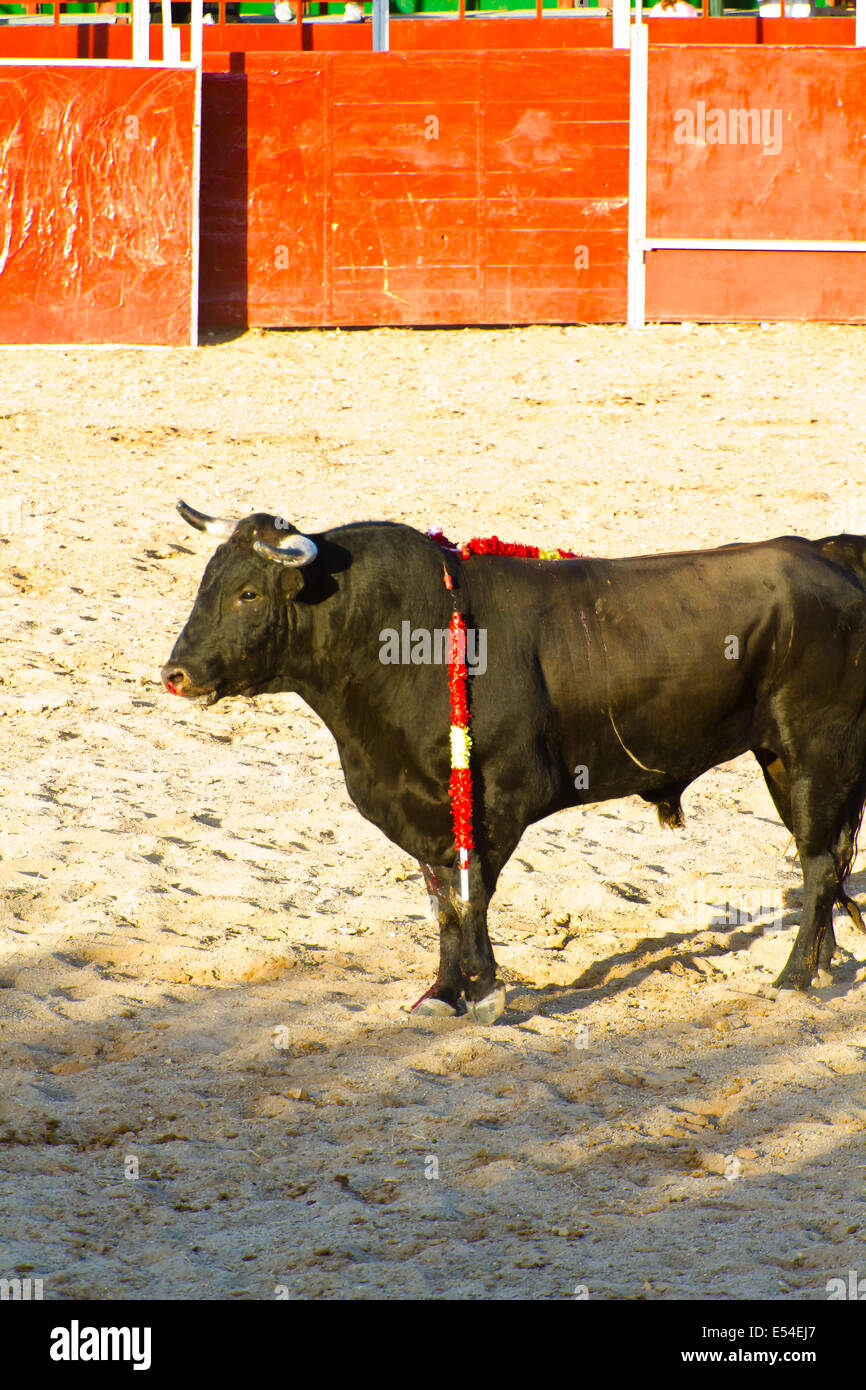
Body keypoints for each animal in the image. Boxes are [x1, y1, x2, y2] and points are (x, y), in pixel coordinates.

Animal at [161, 502, 866, 1020]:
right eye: (206, 584)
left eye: (248, 593)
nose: (176, 675)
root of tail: (827, 551)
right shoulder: (427, 812)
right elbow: (445, 900)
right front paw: (442, 993)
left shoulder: (501, 797)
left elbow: (472, 894)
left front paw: (486, 991)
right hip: (782, 758)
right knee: (826, 861)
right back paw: (824, 964)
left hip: (817, 750)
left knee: (818, 864)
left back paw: (793, 977)